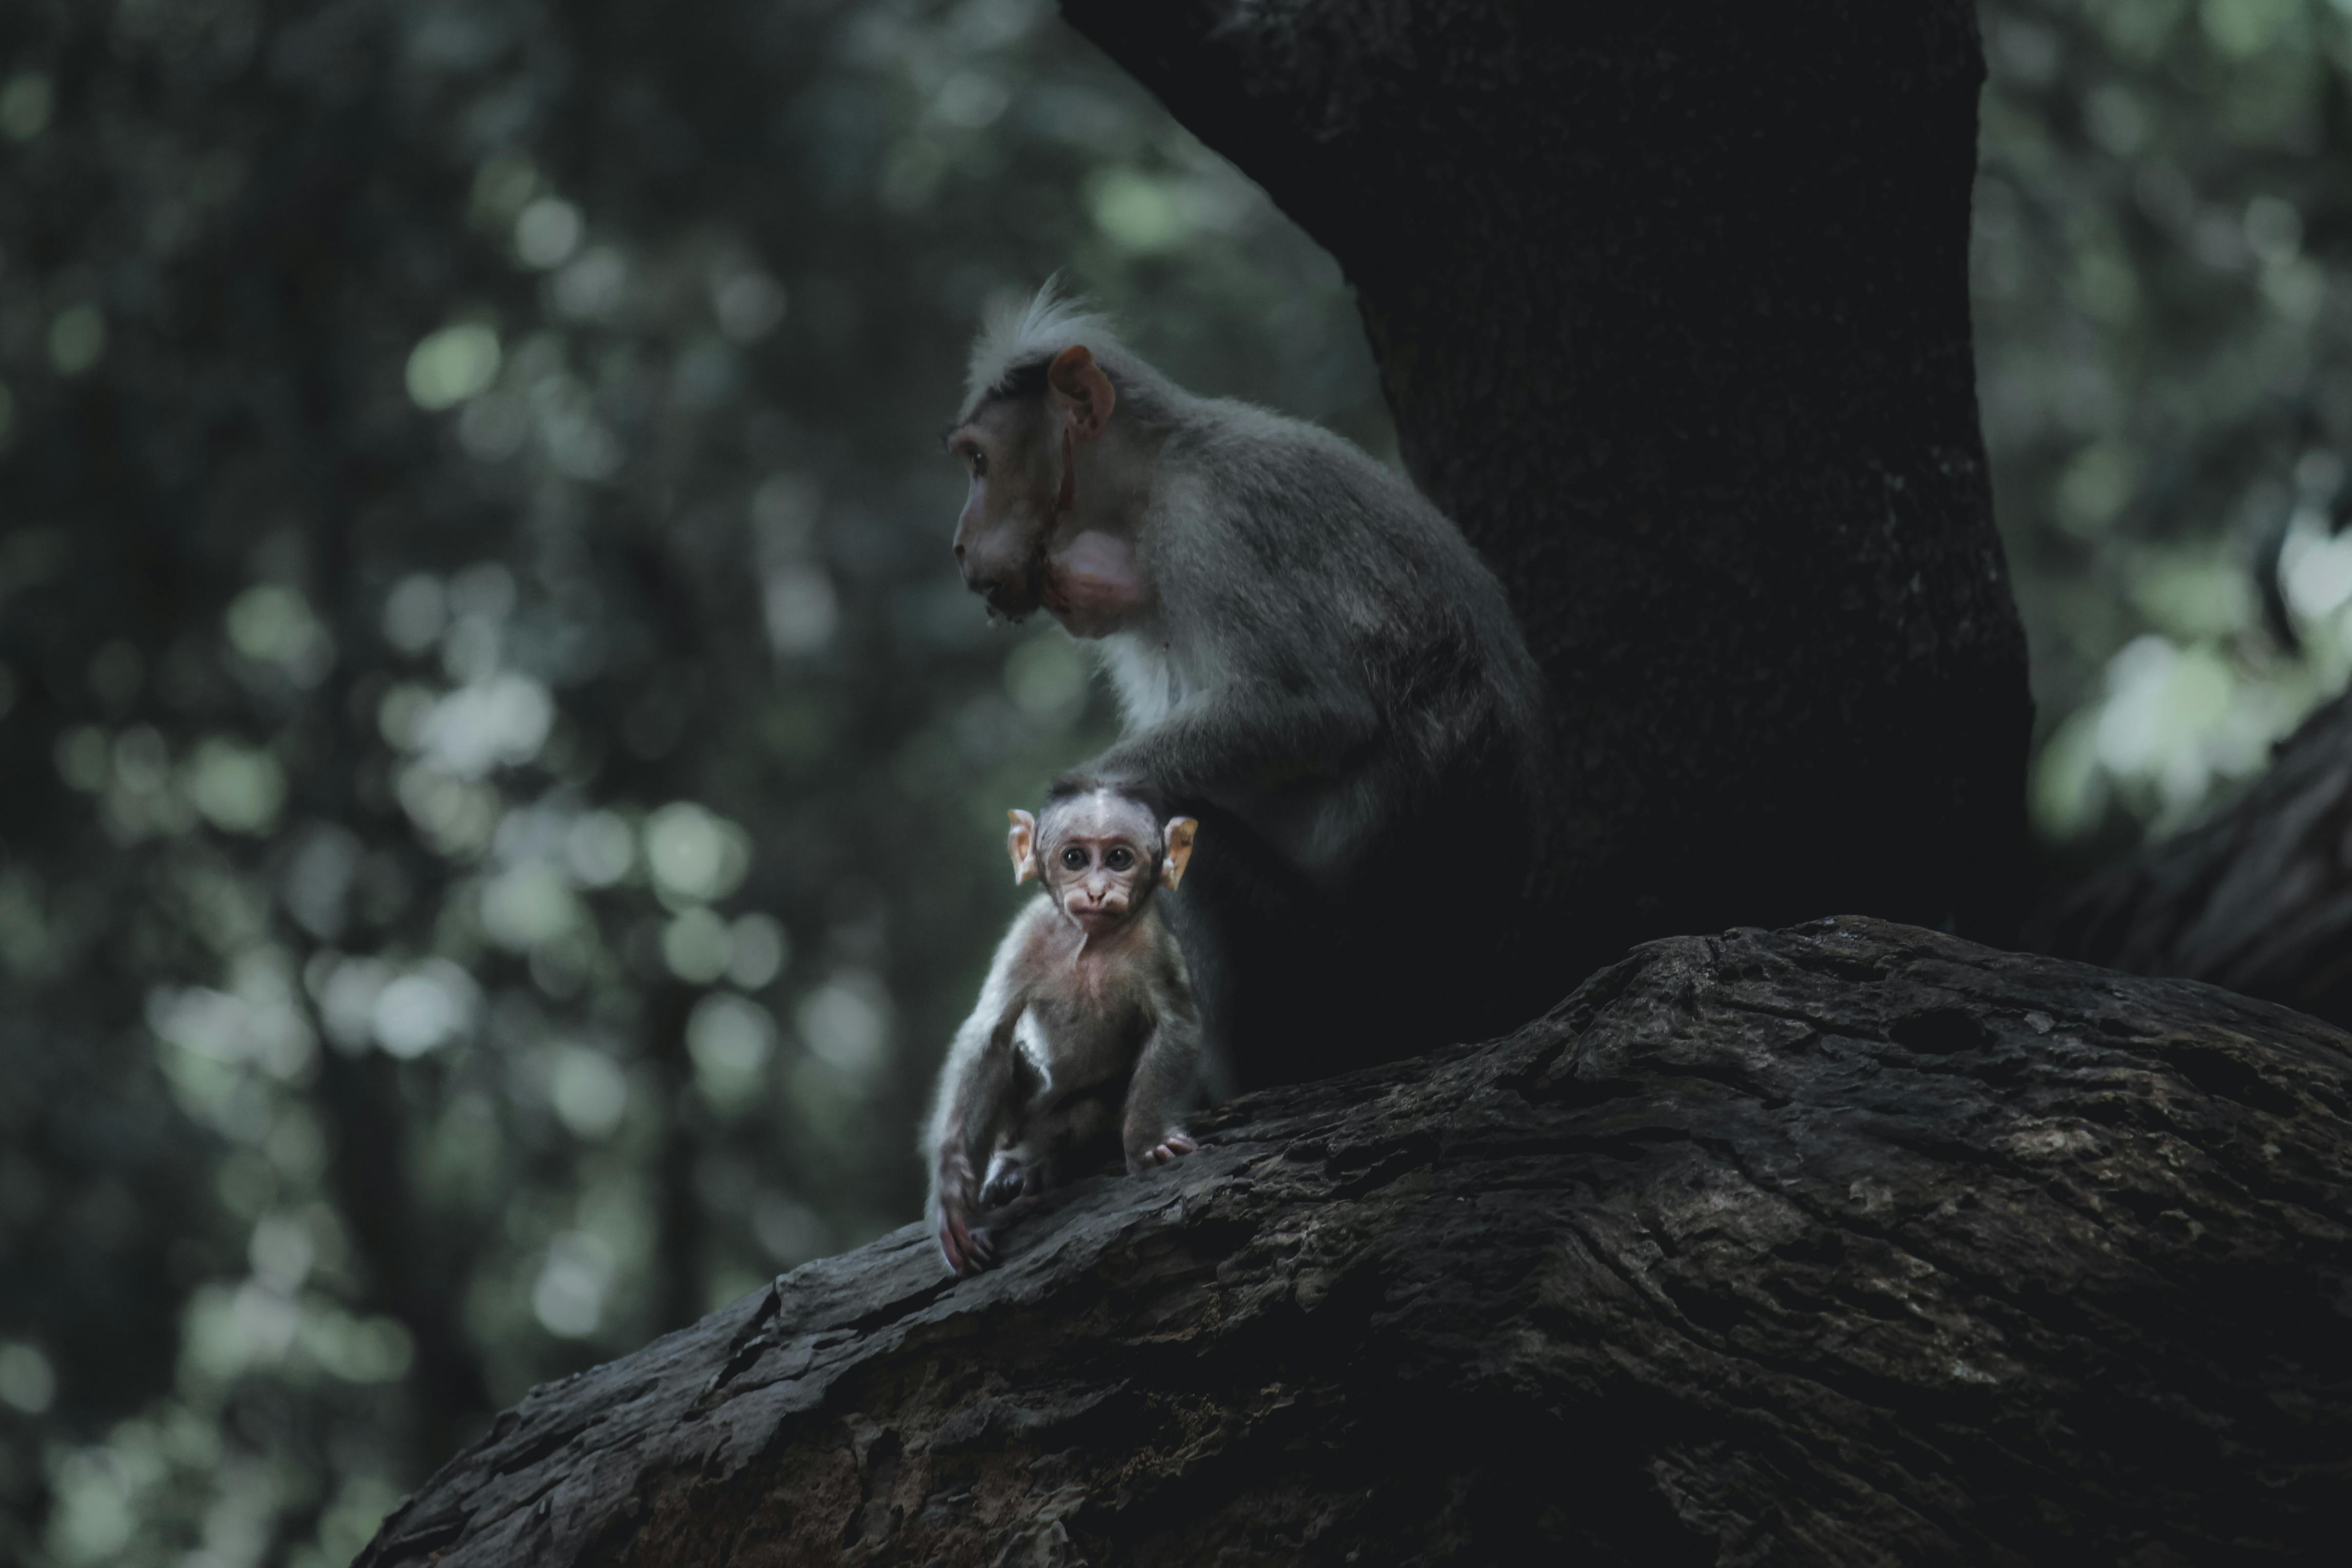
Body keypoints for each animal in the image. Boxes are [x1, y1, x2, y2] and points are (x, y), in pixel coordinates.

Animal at [922, 778, 1202, 1277]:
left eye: (1118, 858)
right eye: (1074, 858)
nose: (1096, 891)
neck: (1089, 944)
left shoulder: (1154, 945)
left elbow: (1177, 1027)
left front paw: (1148, 1142)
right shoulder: (1026, 936)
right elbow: (987, 1038)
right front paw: (953, 1192)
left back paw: (1039, 1168)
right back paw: (1008, 1172)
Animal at [943, 282, 1550, 1092]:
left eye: (981, 462)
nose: (958, 544)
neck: (1152, 481)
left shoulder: (1208, 525)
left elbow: (1311, 710)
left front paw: (1065, 806)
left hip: (1332, 977)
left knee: (1179, 837)